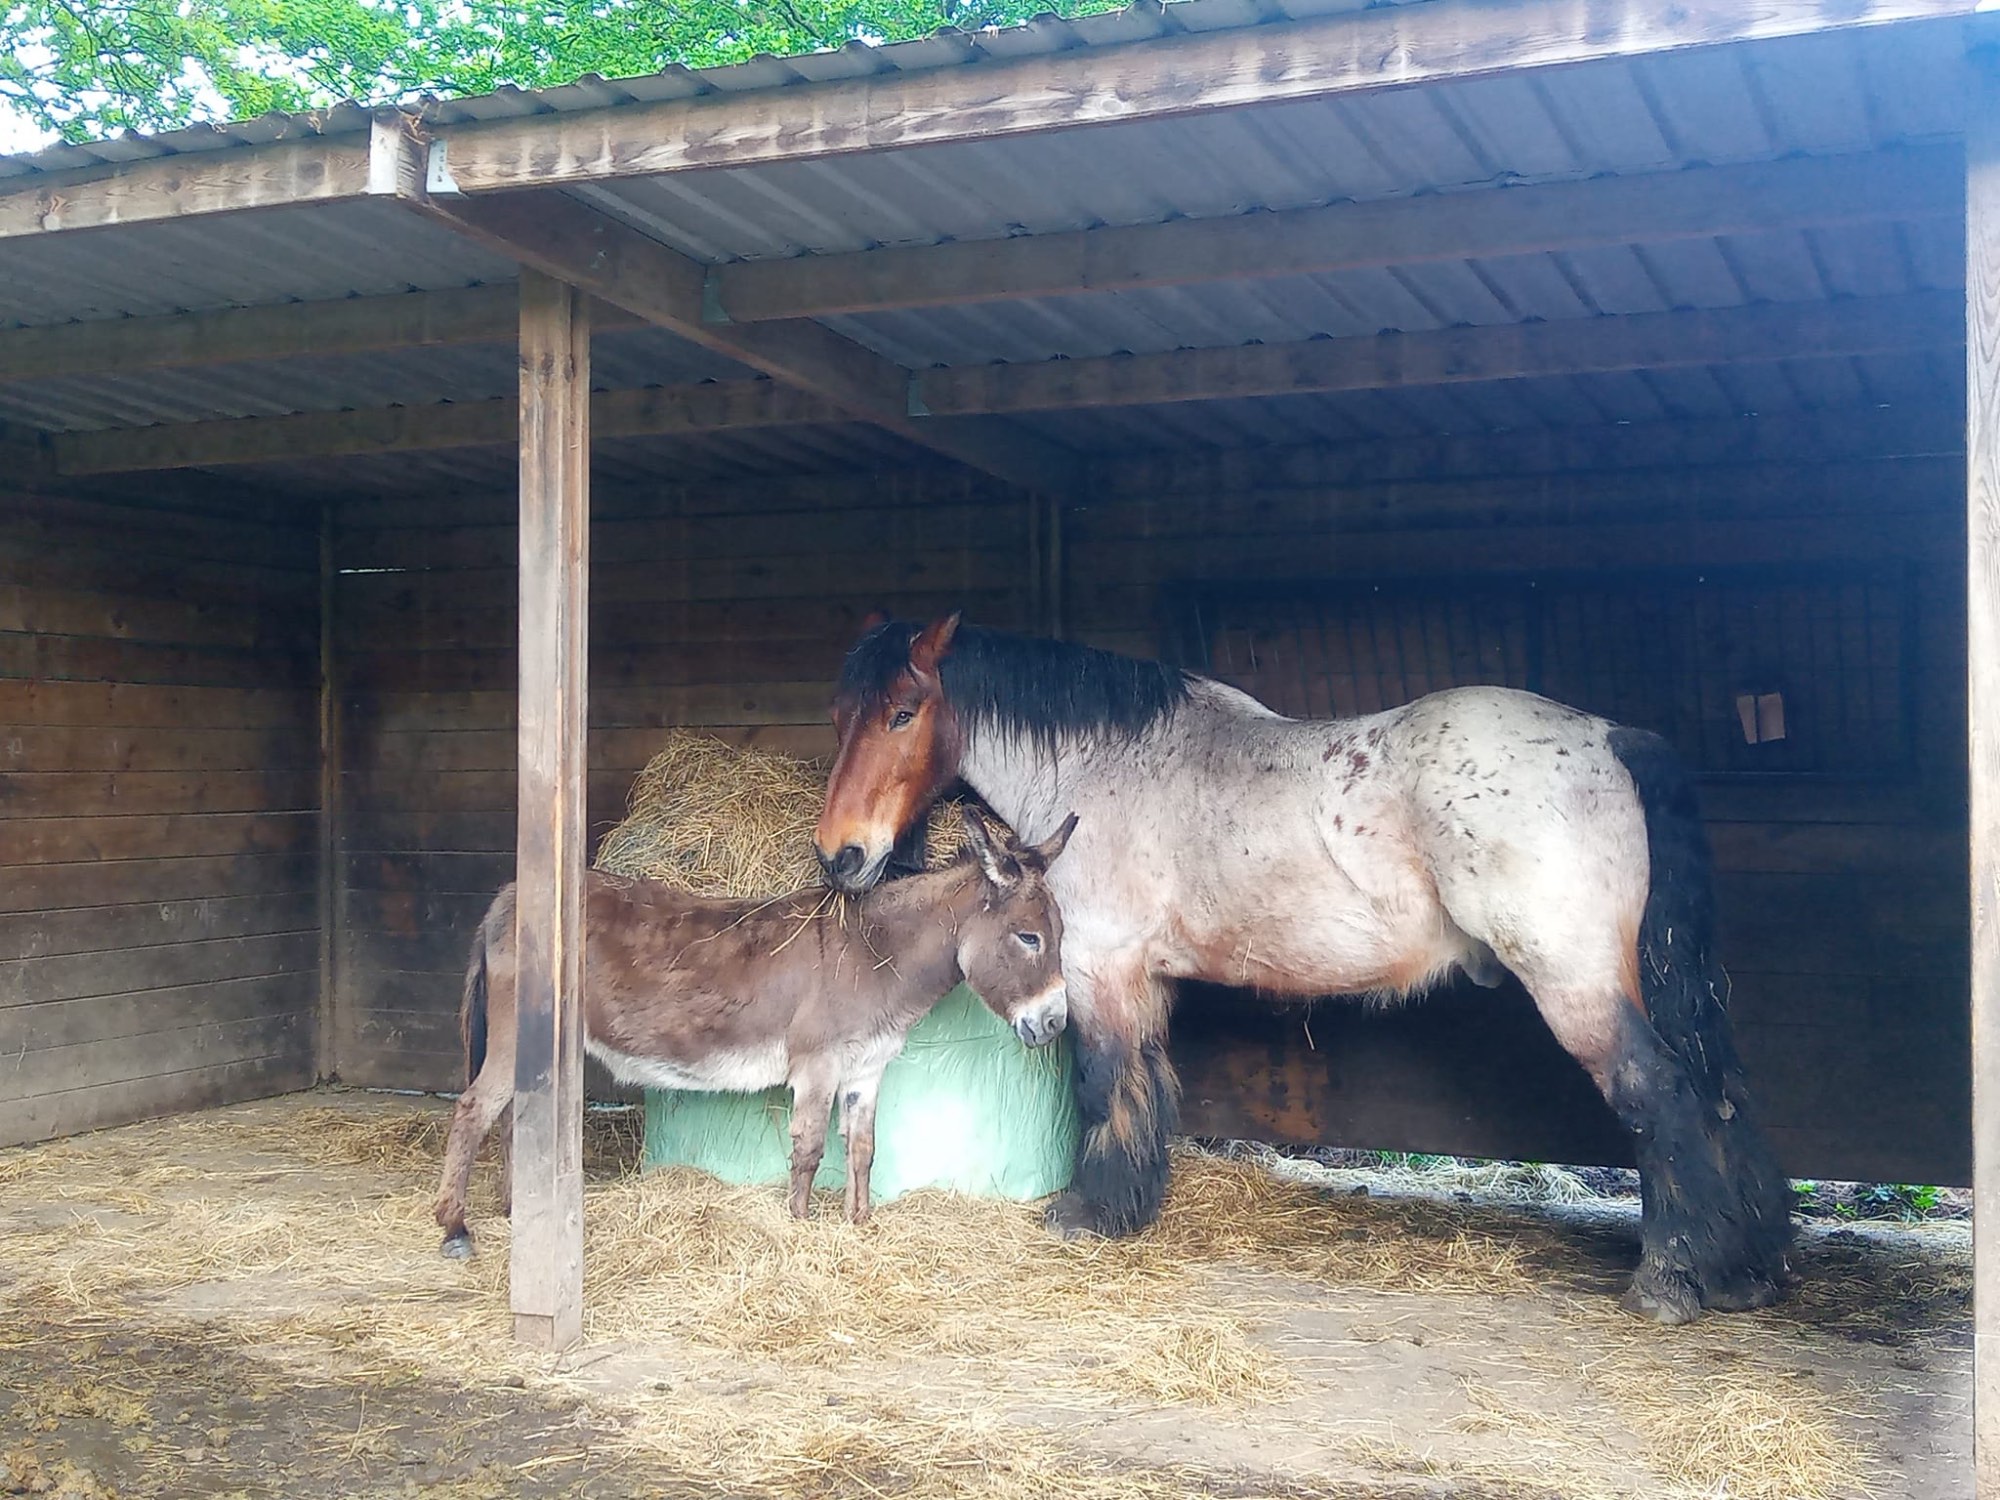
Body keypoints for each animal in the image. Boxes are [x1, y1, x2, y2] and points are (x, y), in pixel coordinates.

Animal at [432, 806, 1077, 1254]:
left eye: (1061, 935)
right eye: (1028, 937)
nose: (1055, 1024)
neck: (874, 955)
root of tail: (510, 897)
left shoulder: (866, 1070)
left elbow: (864, 1149)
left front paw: (859, 1224)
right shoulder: (817, 1066)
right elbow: (810, 1149)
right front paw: (799, 1227)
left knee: (514, 1115)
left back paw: (517, 1208)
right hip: (514, 1035)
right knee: (473, 1110)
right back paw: (455, 1228)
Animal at [812, 614, 1793, 1325]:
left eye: (903, 713)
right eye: (841, 716)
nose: (841, 856)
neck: (1106, 766)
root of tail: (1612, 739)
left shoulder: (1098, 967)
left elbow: (1101, 1084)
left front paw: (1086, 1216)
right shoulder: (1140, 980)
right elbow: (1147, 1087)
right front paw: (1128, 1208)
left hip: (1576, 984)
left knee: (1661, 1095)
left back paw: (1670, 1280)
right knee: (1717, 1094)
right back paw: (1740, 1272)